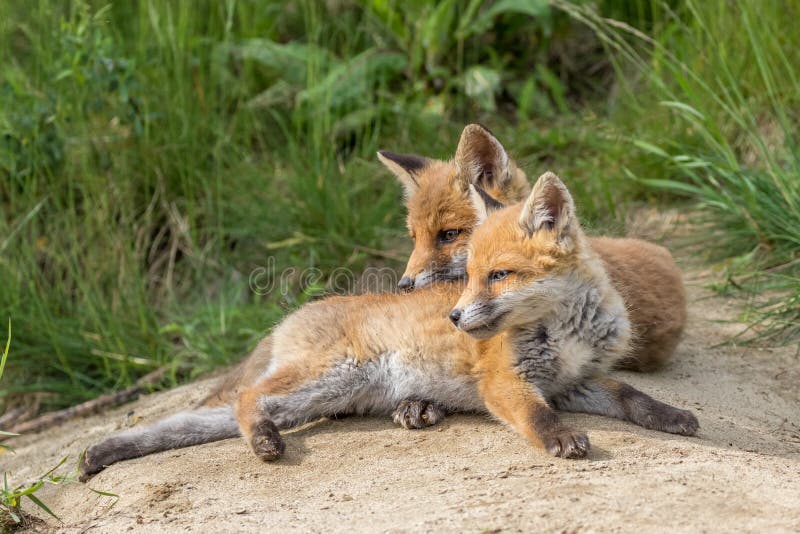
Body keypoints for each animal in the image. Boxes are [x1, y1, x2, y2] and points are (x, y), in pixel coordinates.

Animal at [80, 171, 698, 478]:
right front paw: (562, 439)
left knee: (214, 415)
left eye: (498, 275)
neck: (564, 329)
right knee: (245, 399)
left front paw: (674, 417)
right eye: (469, 276)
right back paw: (265, 442)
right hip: (329, 376)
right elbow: (536, 416)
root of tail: (290, 317)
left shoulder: (577, 379)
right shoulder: (508, 382)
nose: (453, 316)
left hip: (325, 396)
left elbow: (635, 398)